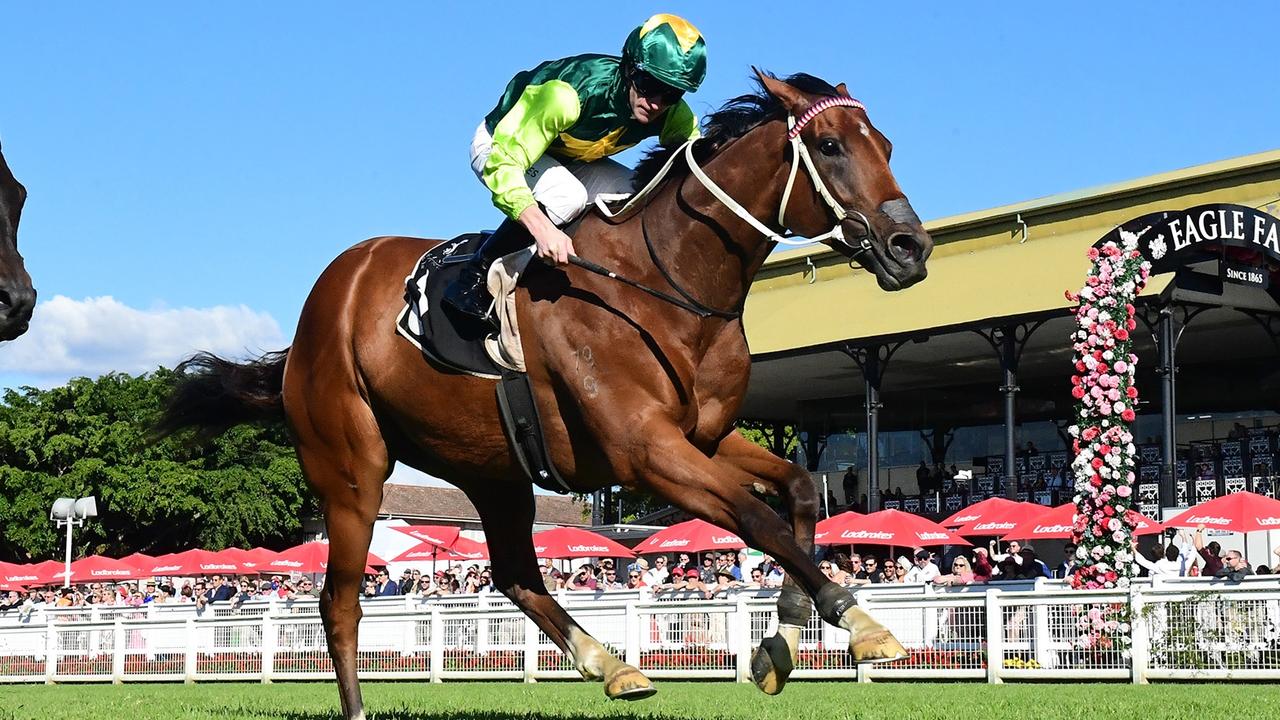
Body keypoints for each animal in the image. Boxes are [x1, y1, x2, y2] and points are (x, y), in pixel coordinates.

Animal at [159, 71, 933, 719]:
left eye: (889, 145)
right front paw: (861, 622)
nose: (910, 248)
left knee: (513, 572)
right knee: (340, 600)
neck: (666, 284)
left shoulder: (704, 437)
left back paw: (612, 665)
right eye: (830, 146)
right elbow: (757, 517)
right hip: (352, 471)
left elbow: (798, 490)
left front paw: (786, 638)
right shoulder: (645, 450)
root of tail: (320, 305)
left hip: (494, 471)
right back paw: (358, 709)